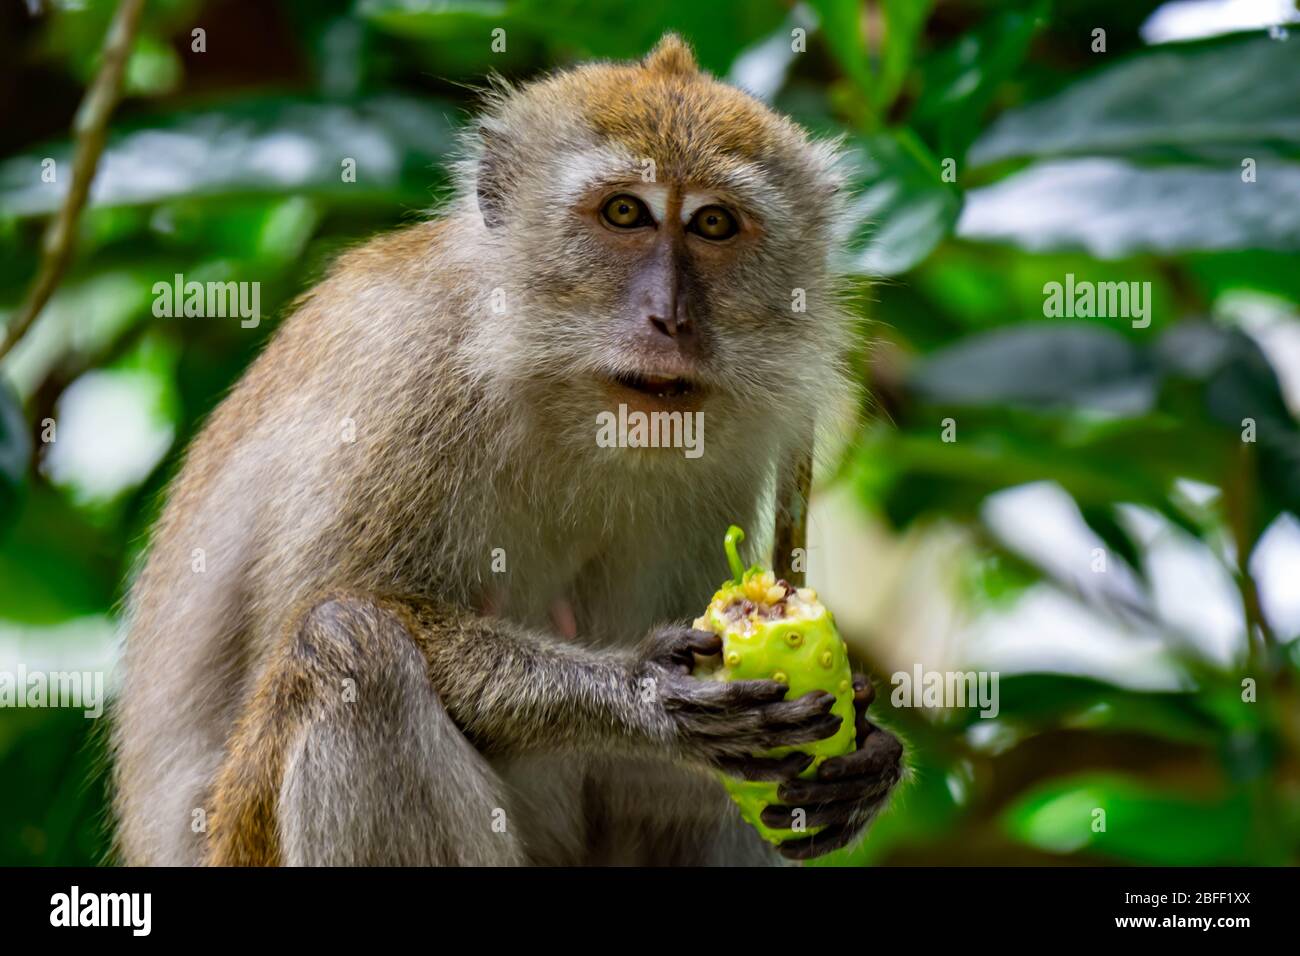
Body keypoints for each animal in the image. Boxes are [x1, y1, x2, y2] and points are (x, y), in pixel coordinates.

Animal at [111, 33, 903, 867]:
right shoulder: (405, 378)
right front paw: (640, 694)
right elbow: (305, 622)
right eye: (625, 212)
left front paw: (869, 755)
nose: (669, 318)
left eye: (714, 224)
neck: (561, 395)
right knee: (346, 648)